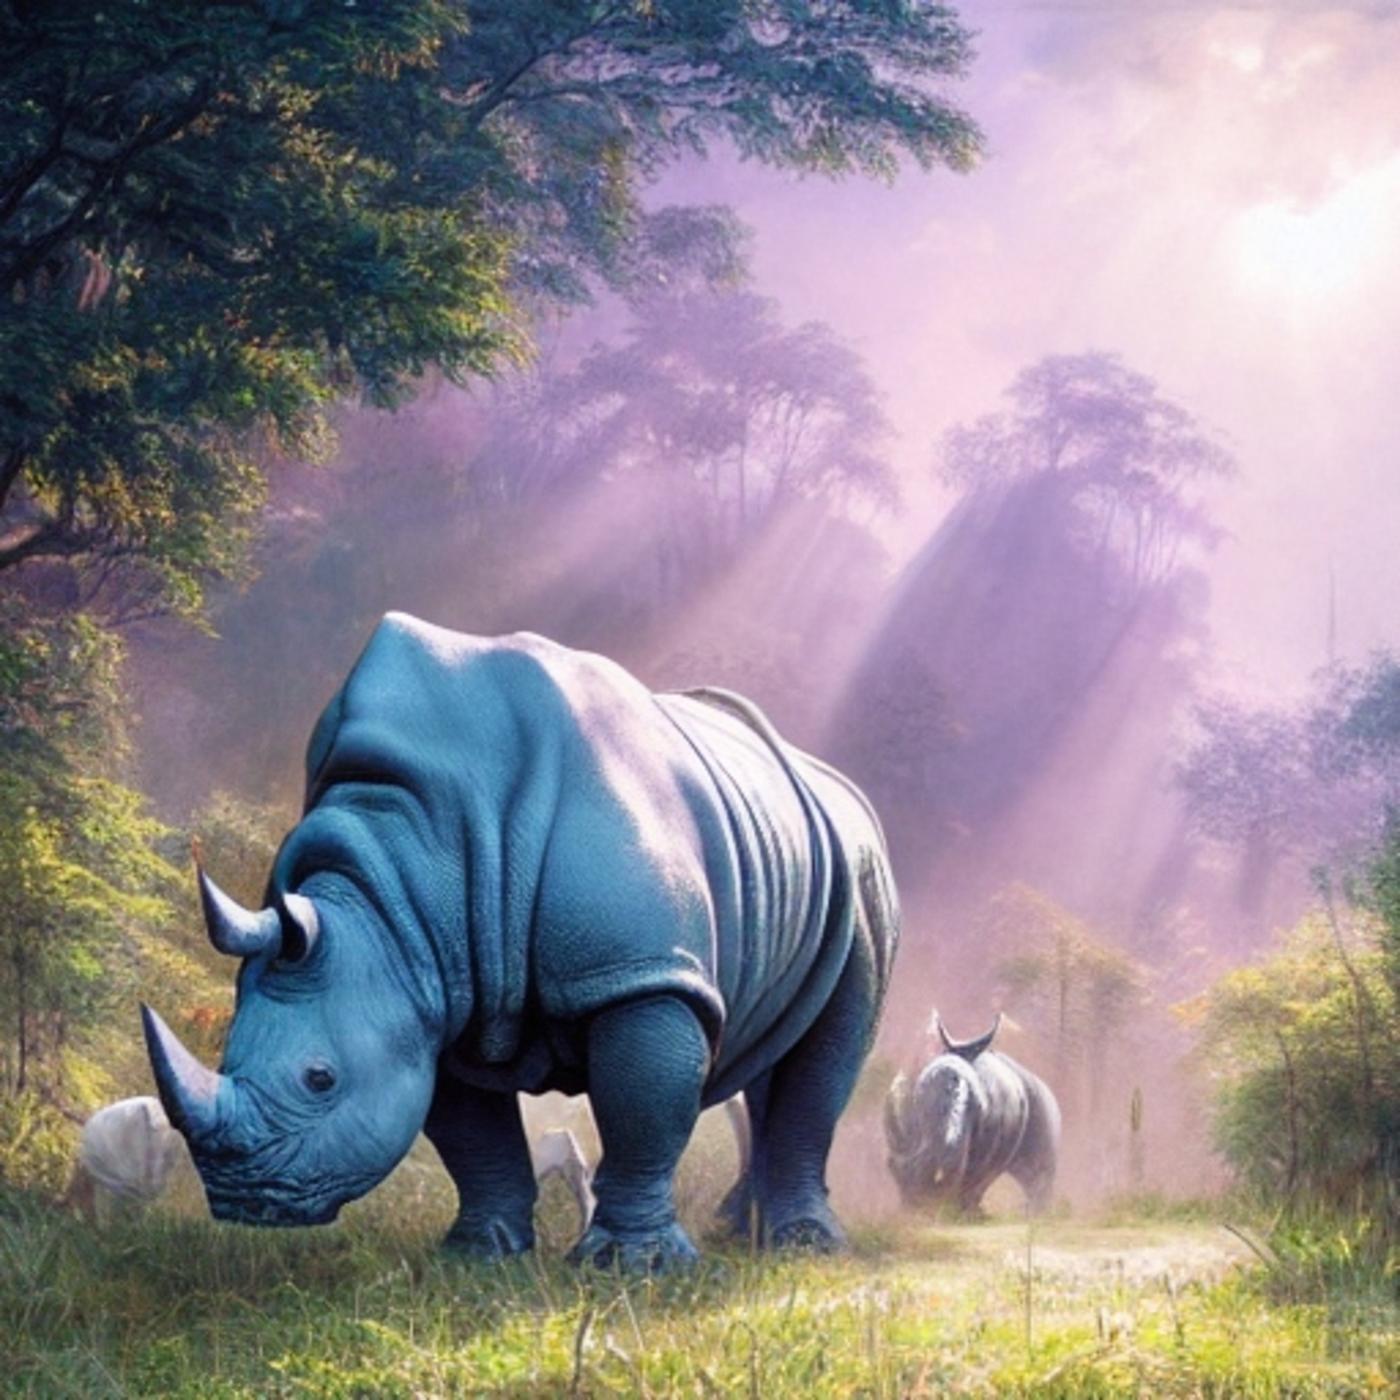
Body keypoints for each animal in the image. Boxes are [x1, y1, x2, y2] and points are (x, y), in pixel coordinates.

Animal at [143, 613, 898, 1270]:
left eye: (320, 1078)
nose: (241, 1202)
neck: (394, 890)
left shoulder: (639, 973)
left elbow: (642, 1107)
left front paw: (632, 1268)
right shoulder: (432, 984)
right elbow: (471, 1134)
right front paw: (478, 1253)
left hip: (862, 864)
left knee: (830, 1047)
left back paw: (805, 1248)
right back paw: (747, 1234)